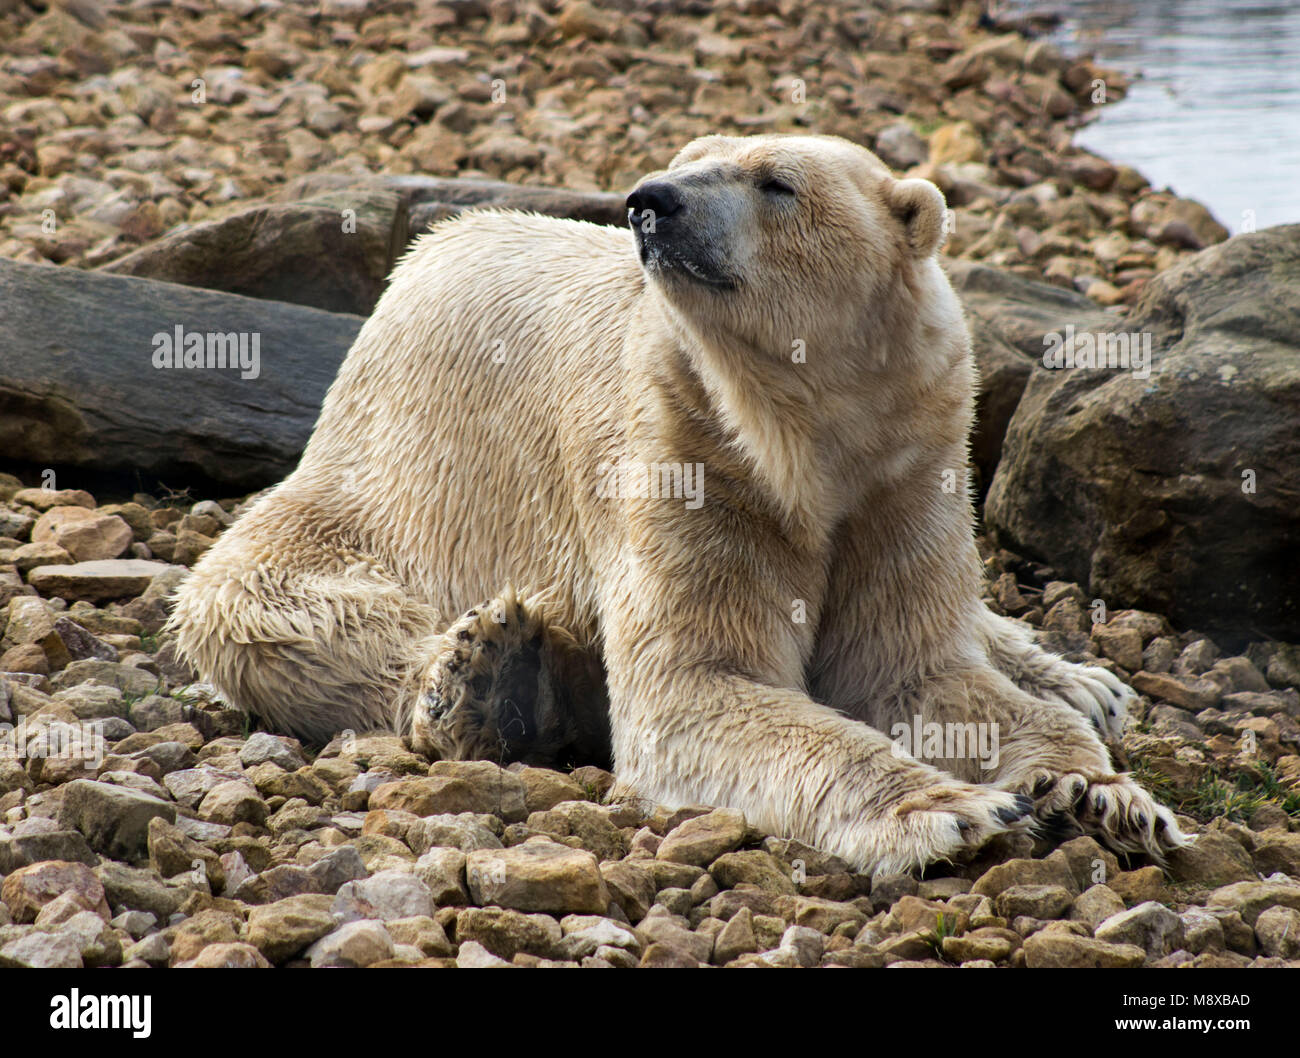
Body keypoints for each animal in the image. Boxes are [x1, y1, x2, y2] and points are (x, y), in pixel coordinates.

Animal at [169, 133, 1185, 876]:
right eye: (693, 153)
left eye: (775, 182)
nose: (651, 200)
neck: (805, 439)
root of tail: (418, 258)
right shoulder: (691, 456)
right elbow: (701, 684)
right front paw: (953, 809)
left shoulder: (910, 466)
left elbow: (921, 669)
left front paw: (1102, 795)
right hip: (380, 483)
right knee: (267, 610)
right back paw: (491, 679)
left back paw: (1086, 681)